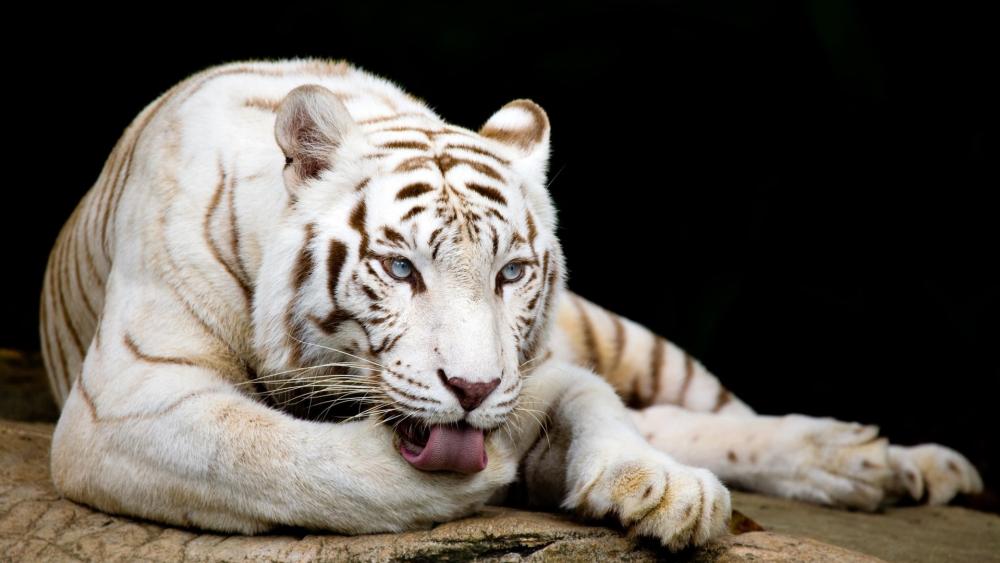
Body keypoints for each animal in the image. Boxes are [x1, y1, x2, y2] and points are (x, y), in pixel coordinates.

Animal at [39, 58, 982, 551]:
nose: (472, 389)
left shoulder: (546, 367)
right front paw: (487, 473)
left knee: (710, 412)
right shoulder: (128, 402)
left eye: (512, 273)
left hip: (622, 335)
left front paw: (665, 489)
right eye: (401, 267)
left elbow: (600, 407)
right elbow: (276, 456)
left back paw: (887, 462)